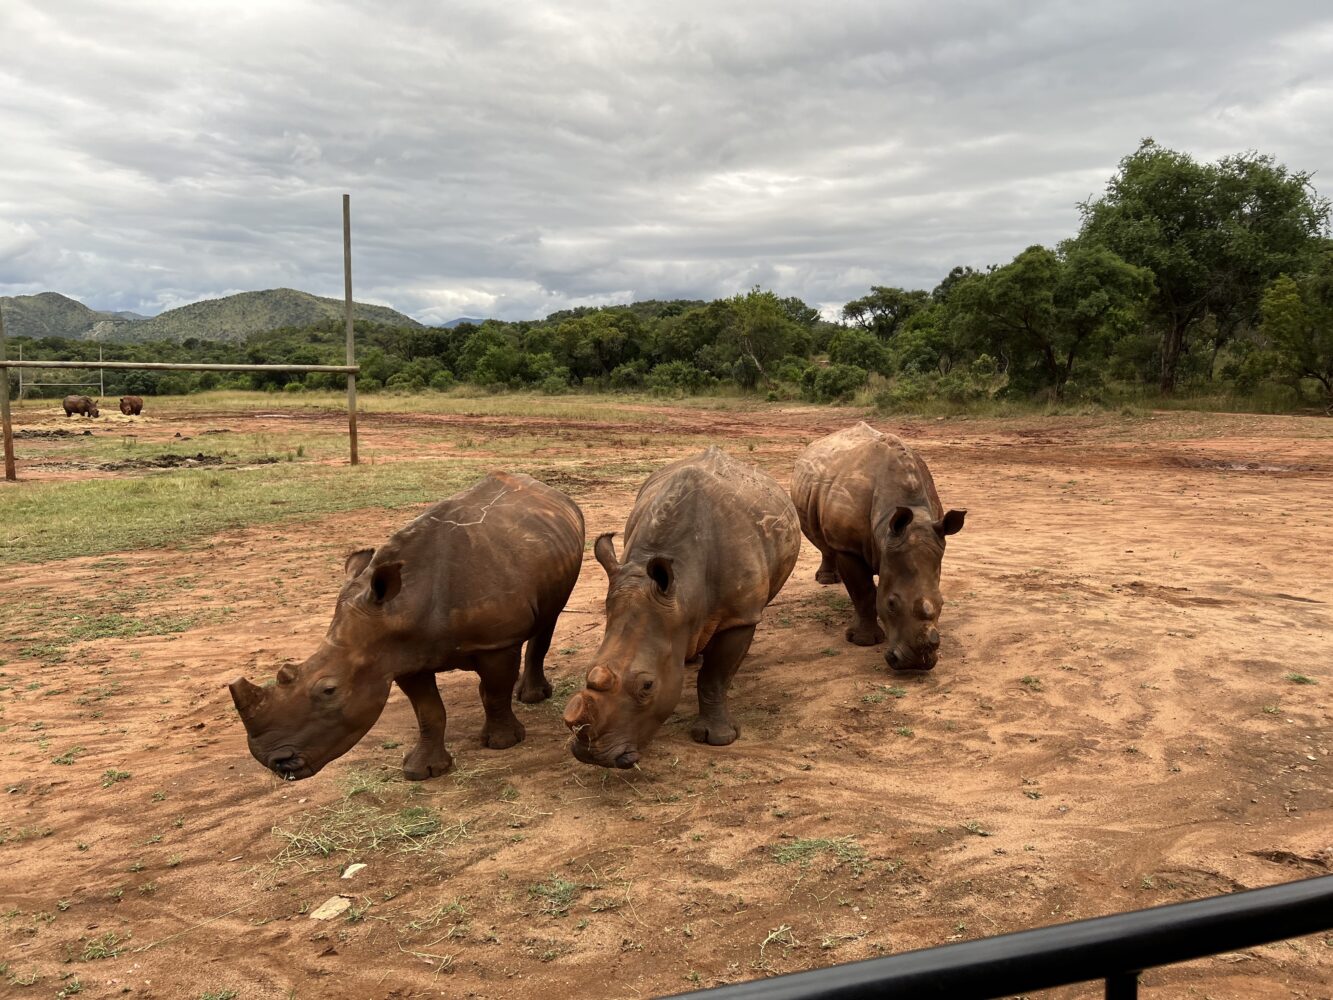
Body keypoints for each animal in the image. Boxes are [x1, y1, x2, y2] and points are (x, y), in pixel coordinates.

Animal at [229, 472, 584, 781]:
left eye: (330, 690)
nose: (275, 761)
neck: (401, 607)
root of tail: (550, 491)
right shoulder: (397, 656)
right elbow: (429, 712)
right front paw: (422, 771)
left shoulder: (495, 643)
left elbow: (496, 692)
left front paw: (502, 743)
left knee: (548, 620)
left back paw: (531, 698)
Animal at [563, 447, 800, 768]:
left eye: (647, 686)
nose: (593, 756)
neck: (685, 591)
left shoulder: (739, 615)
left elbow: (714, 676)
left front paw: (718, 739)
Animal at [791, 422, 965, 671]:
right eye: (891, 604)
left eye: (942, 603)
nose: (915, 664)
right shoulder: (848, 547)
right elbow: (863, 592)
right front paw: (864, 641)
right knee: (824, 543)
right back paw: (826, 580)